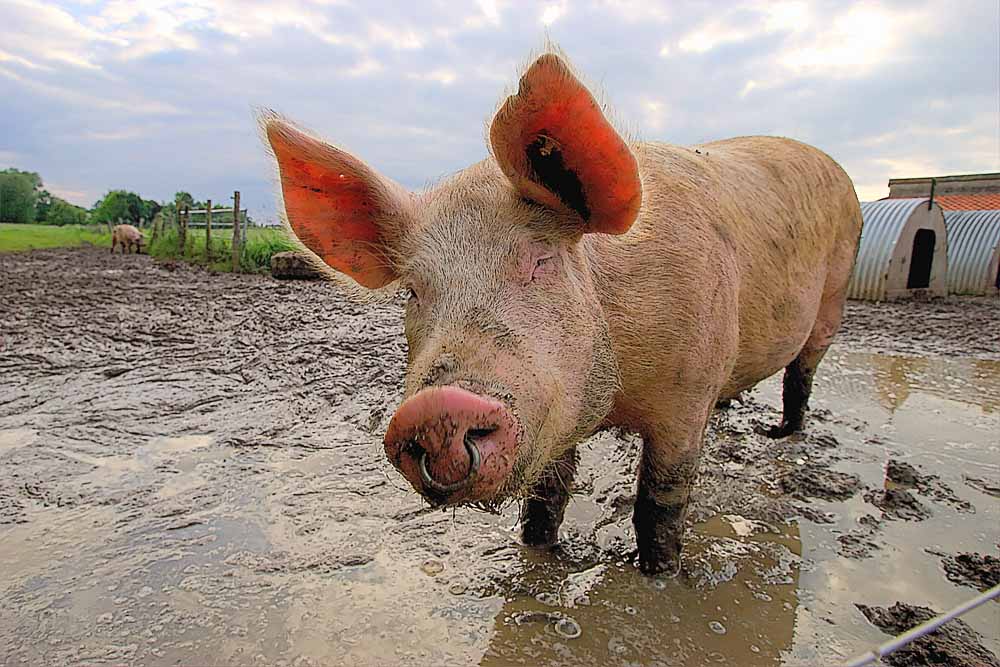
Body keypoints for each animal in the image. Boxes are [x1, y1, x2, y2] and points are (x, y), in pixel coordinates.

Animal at [262, 52, 863, 575]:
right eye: (413, 289)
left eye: (541, 260)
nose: (436, 409)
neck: (614, 396)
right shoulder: (557, 411)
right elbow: (545, 498)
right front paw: (539, 553)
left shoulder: (686, 397)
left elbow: (659, 505)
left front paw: (660, 575)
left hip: (835, 290)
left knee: (802, 374)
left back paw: (782, 435)